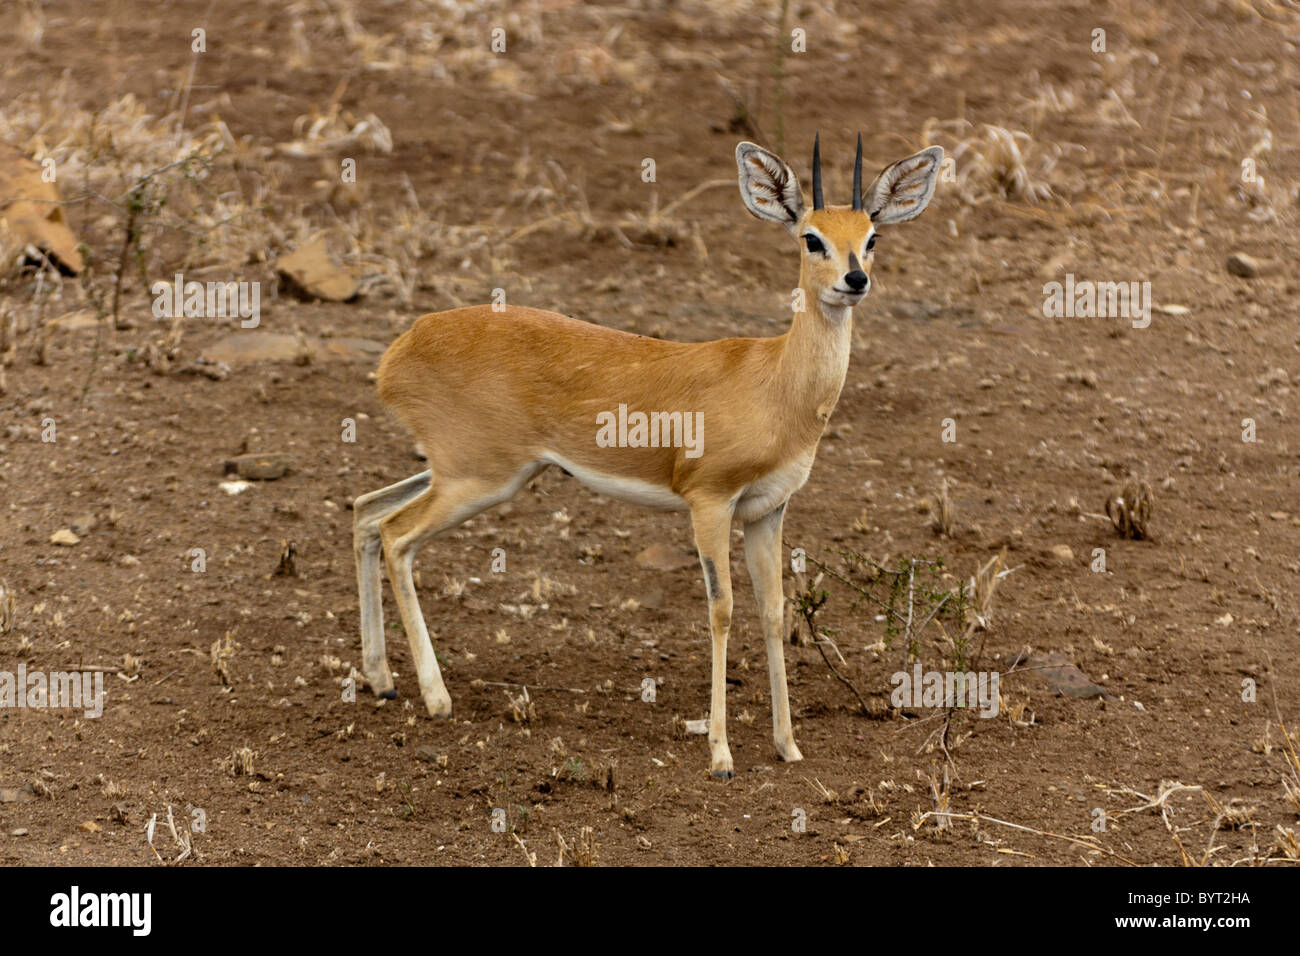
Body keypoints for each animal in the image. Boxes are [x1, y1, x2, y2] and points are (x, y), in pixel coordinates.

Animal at [353, 135, 943, 778]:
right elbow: (722, 609)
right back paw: (436, 698)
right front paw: (721, 754)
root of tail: (400, 349)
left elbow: (773, 610)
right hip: (479, 479)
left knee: (366, 511)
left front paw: (787, 744)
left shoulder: (766, 511)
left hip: (471, 473)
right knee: (396, 535)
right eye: (812, 237)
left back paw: (381, 680)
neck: (772, 381)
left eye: (872, 235)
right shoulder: (709, 503)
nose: (855, 280)